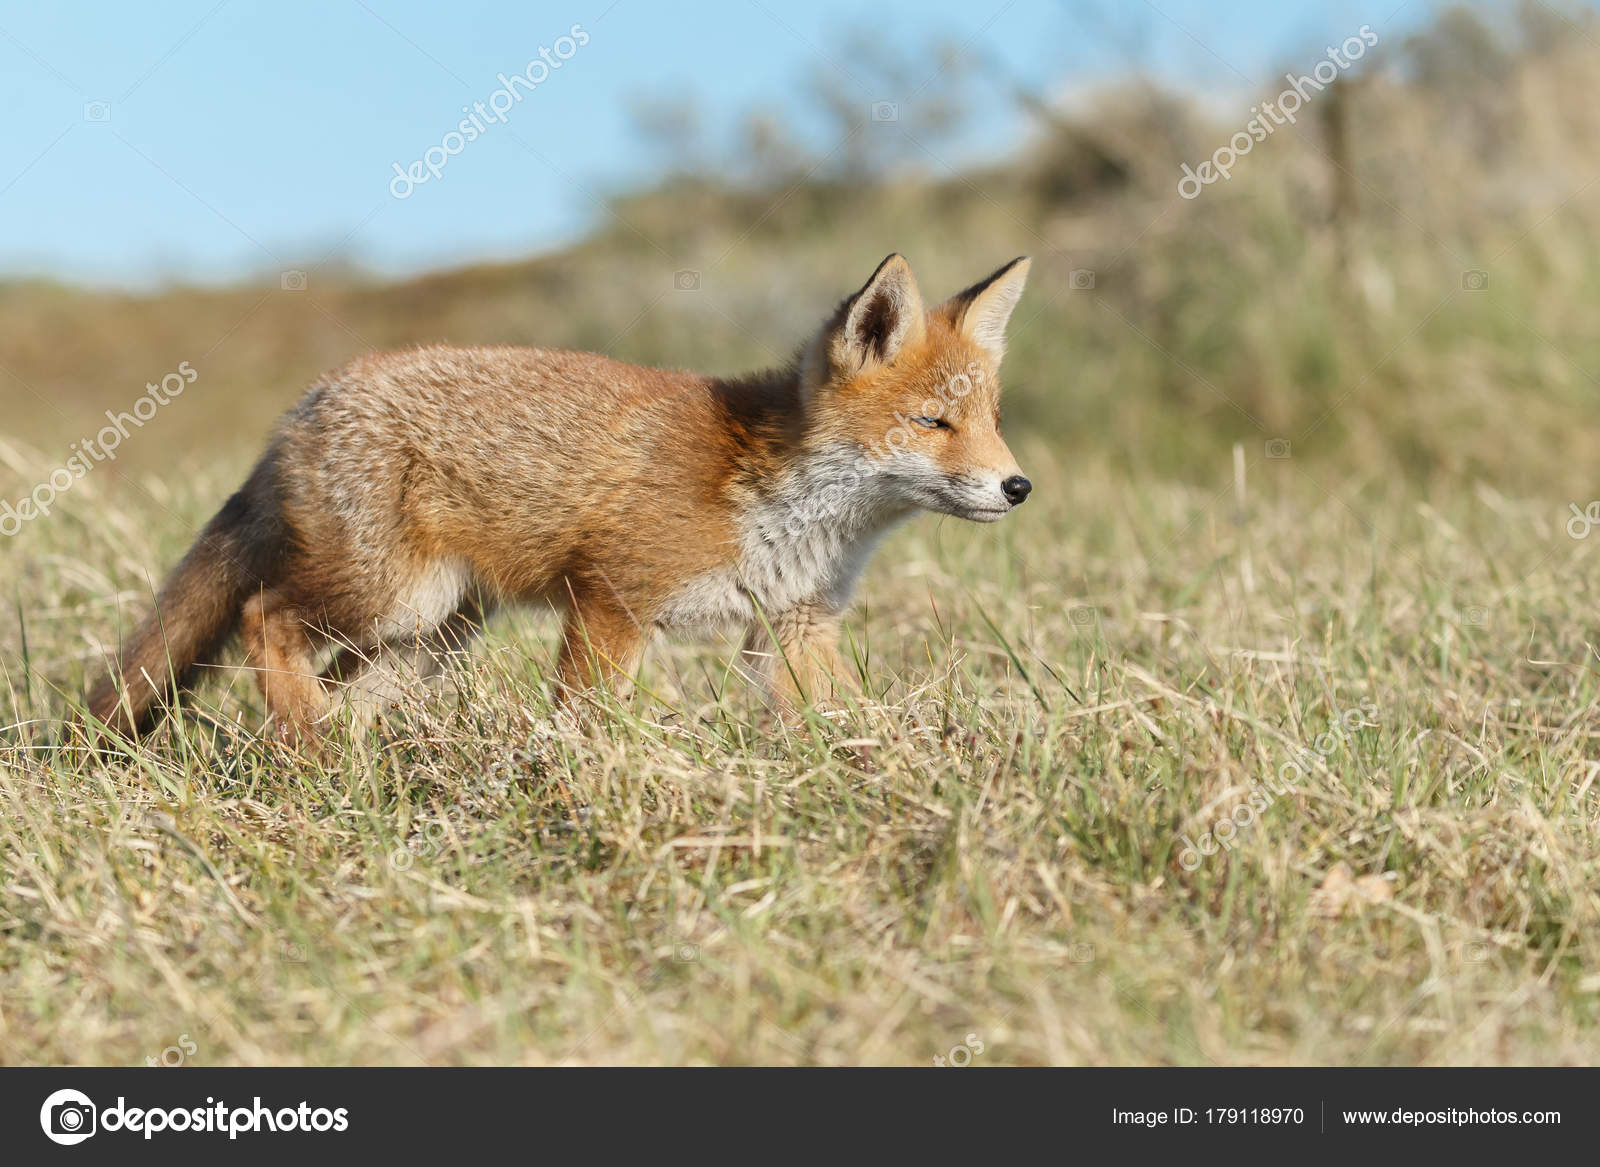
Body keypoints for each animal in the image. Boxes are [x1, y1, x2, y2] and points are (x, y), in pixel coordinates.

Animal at [85, 252, 1034, 741]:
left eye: (991, 420)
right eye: (933, 421)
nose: (1017, 485)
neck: (777, 501)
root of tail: (308, 400)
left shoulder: (795, 626)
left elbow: (842, 719)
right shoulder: (611, 599)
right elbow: (591, 720)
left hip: (430, 632)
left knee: (339, 686)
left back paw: (340, 762)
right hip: (389, 597)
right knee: (263, 616)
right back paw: (309, 742)